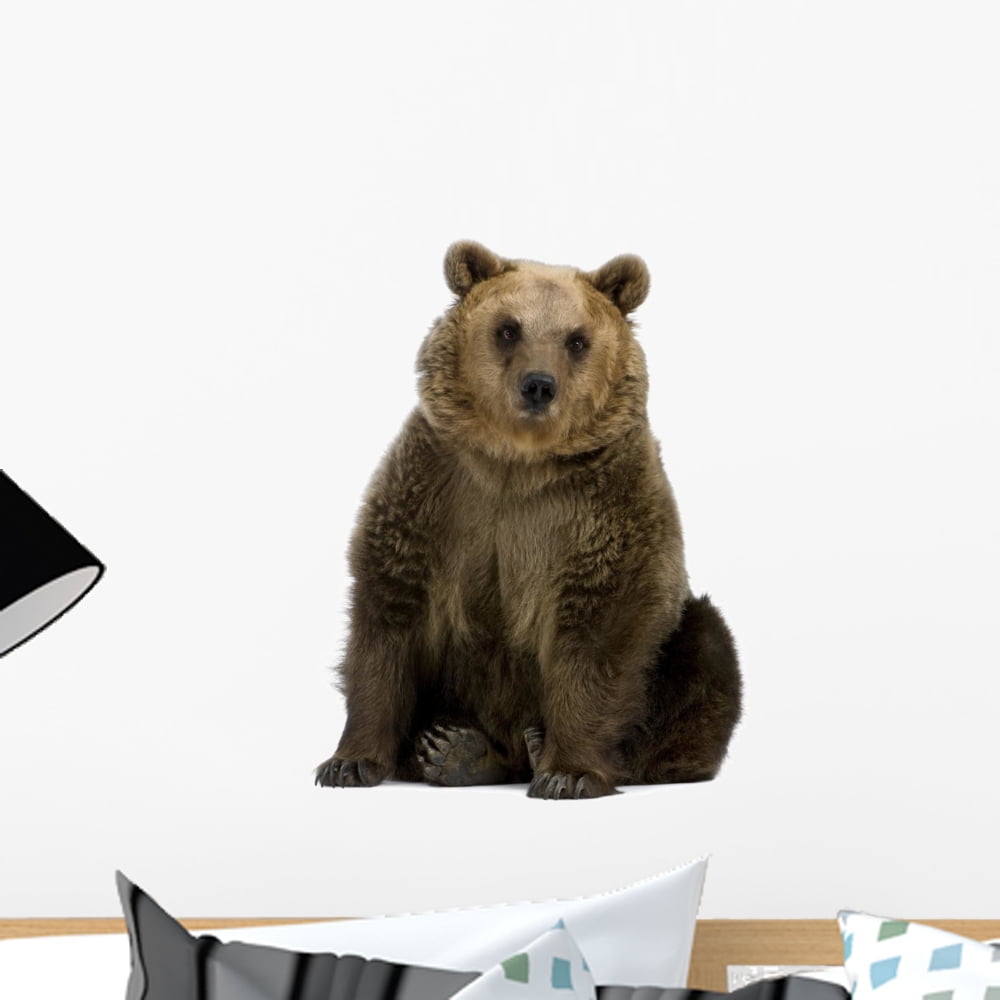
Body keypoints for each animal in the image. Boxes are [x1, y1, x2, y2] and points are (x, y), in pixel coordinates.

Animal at [315, 241, 742, 799]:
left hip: (679, 645)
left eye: (577, 339)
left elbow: (599, 629)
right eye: (508, 328)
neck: (517, 462)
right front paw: (348, 763)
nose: (539, 385)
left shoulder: (602, 509)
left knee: (705, 654)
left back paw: (539, 749)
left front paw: (569, 772)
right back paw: (455, 749)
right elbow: (388, 617)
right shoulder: (436, 492)